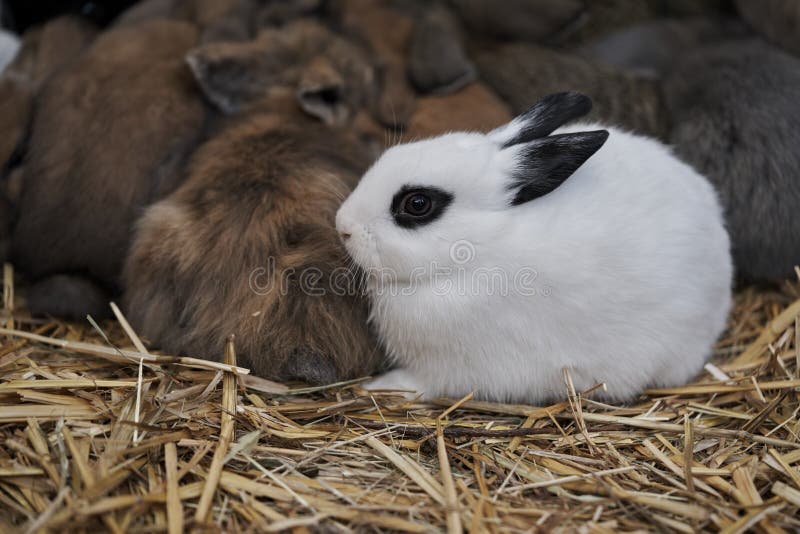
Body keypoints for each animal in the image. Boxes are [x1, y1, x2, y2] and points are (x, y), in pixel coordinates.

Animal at [335, 92, 732, 403]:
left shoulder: (449, 367)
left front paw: (380, 387)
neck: (479, 248)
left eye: (417, 204)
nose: (343, 227)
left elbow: (421, 383)